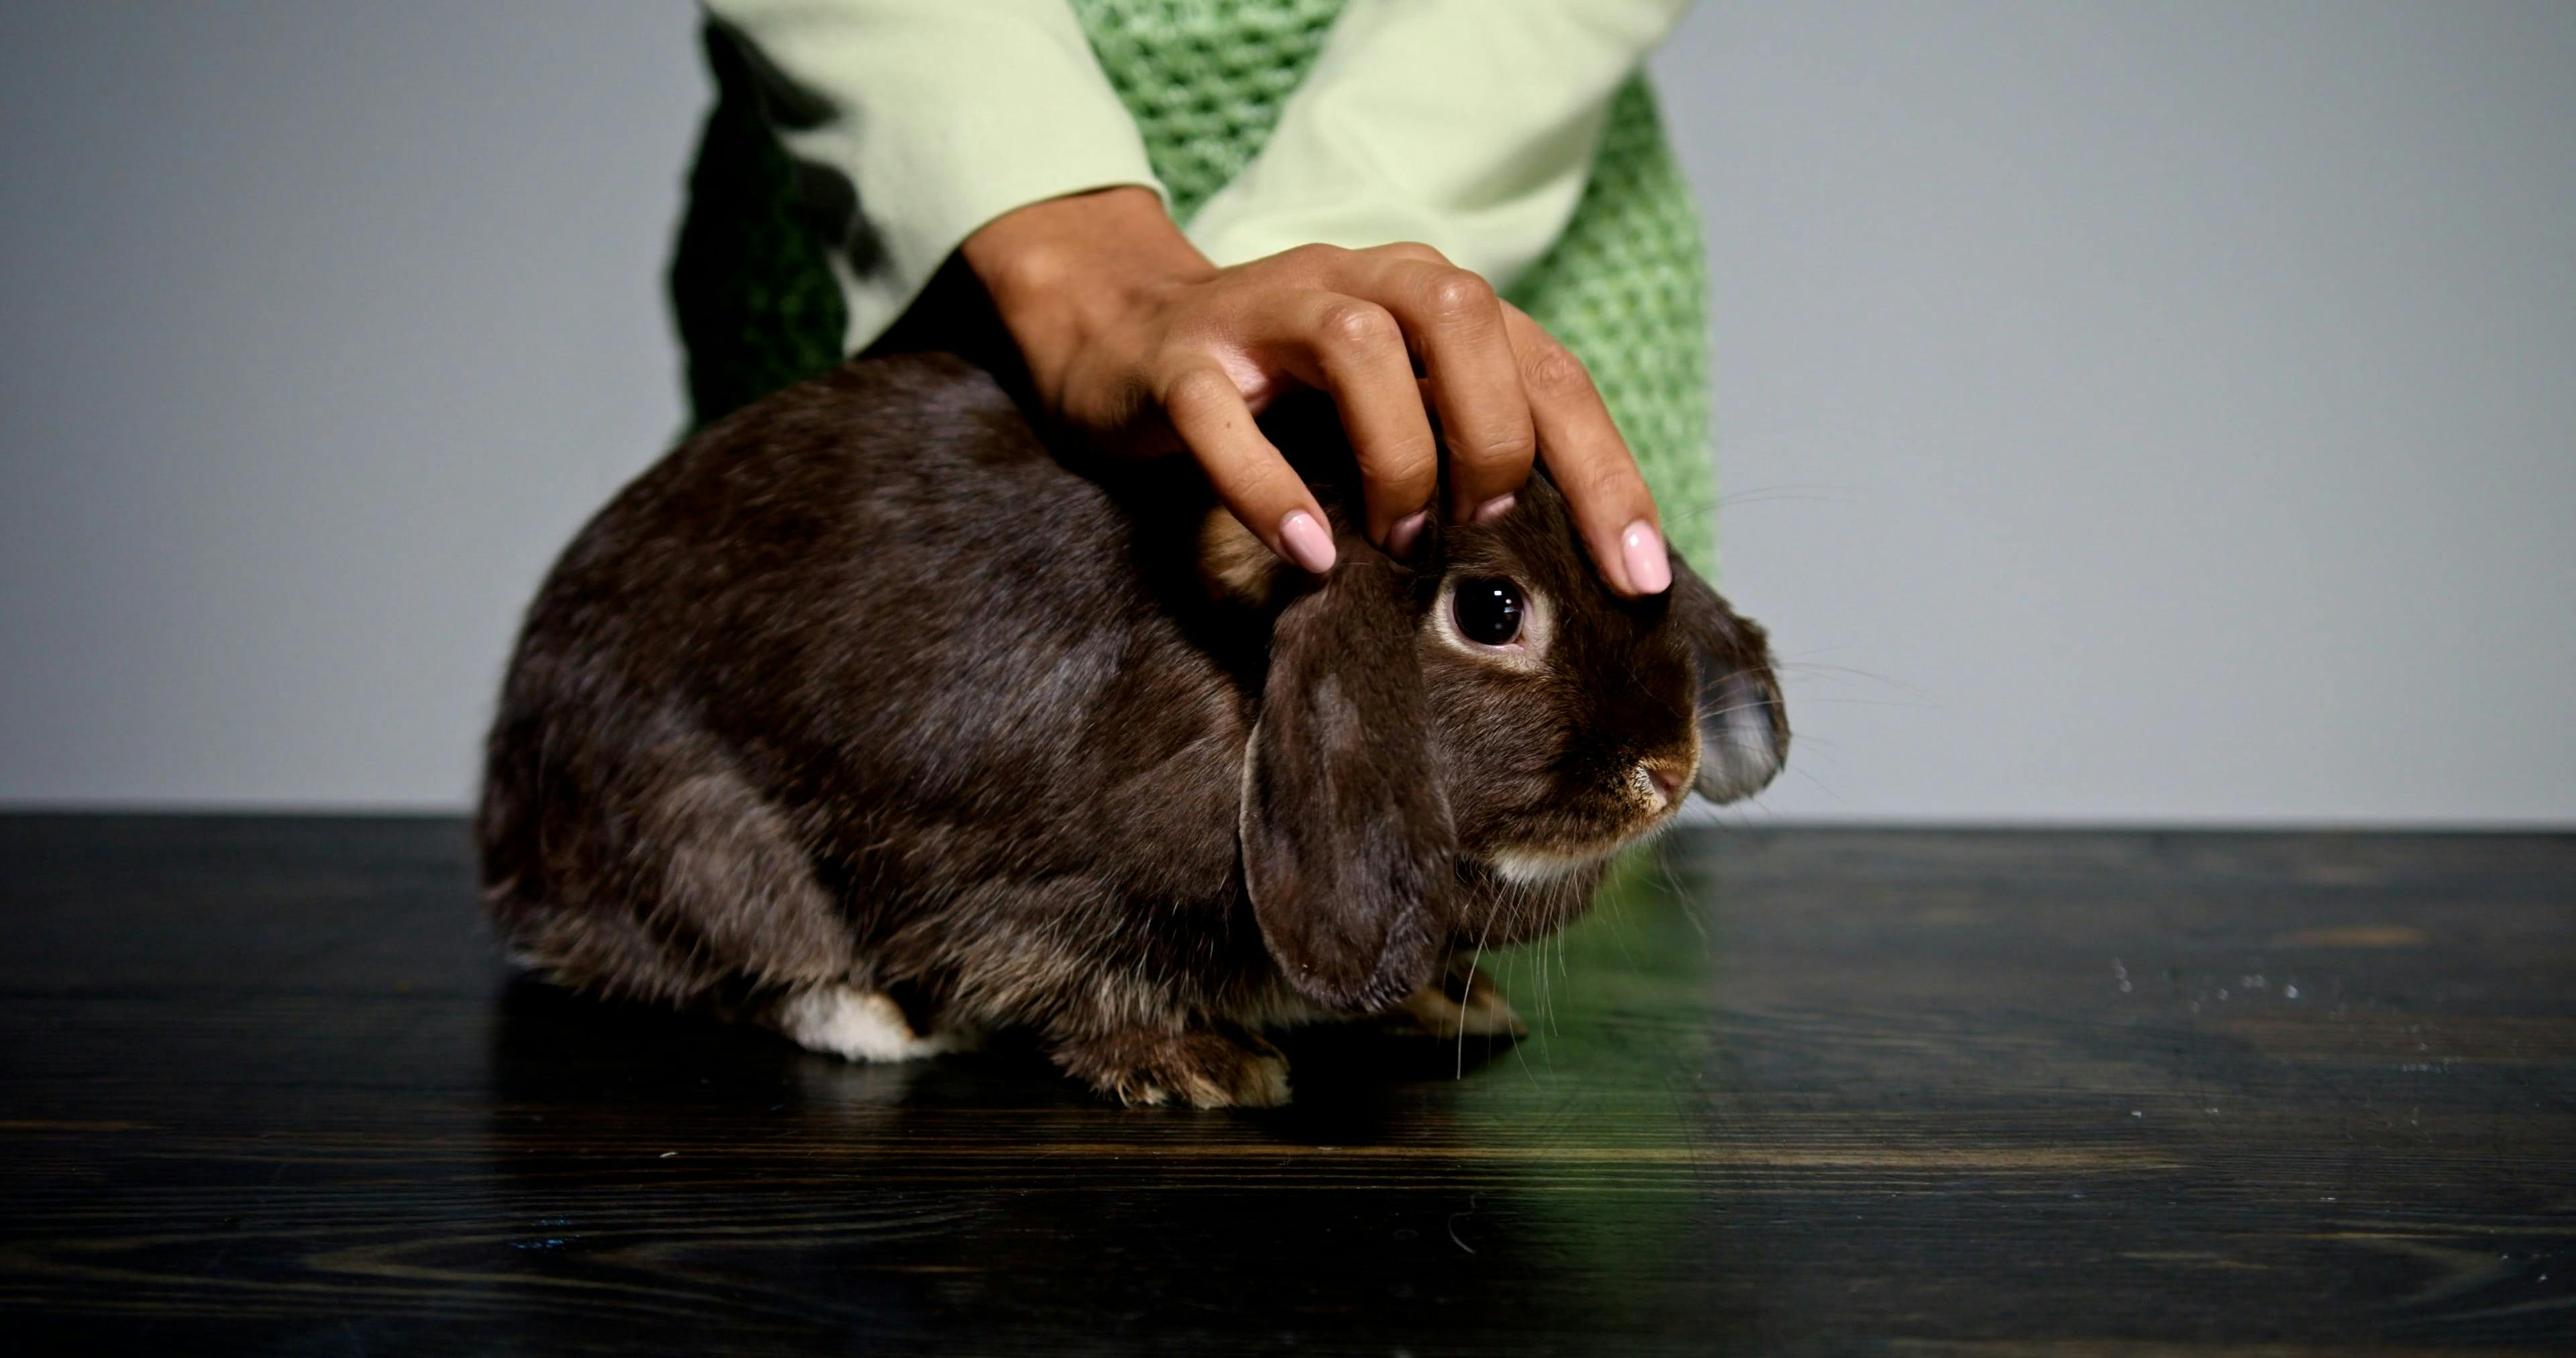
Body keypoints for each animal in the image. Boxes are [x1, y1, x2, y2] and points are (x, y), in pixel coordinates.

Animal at [476, 351, 1786, 1107]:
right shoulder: (1019, 886)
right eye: (1492, 610)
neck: (1237, 670)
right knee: (734, 957)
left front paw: (1446, 1001)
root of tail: (509, 825)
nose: (1667, 766)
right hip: (694, 826)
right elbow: (1074, 980)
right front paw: (1203, 1067)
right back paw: (878, 1020)